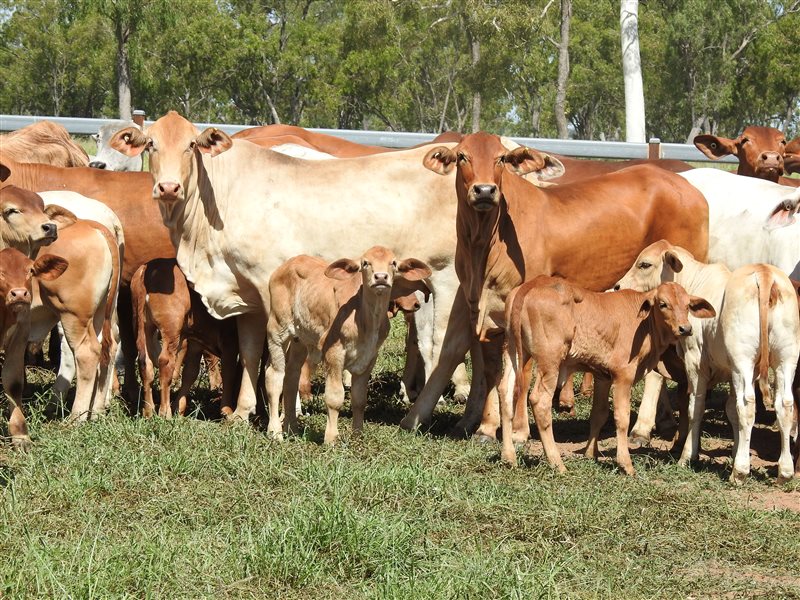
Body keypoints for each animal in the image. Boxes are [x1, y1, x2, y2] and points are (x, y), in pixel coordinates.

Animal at [131, 258, 239, 418]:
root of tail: (147, 269)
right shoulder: (229, 341)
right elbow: (229, 372)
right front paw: (227, 410)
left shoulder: (196, 342)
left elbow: (190, 372)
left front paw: (179, 408)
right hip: (171, 327)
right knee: (165, 362)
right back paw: (164, 412)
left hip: (142, 326)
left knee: (145, 362)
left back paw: (148, 411)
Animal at [266, 246, 431, 442]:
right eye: (365, 263)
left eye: (393, 263)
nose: (381, 277)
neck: (366, 319)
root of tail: (287, 265)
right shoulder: (333, 353)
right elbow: (334, 397)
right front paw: (331, 439)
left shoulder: (369, 357)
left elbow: (359, 399)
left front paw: (358, 436)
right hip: (277, 330)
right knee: (274, 376)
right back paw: (275, 432)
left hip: (301, 339)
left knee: (291, 378)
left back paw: (292, 429)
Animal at [416, 131, 710, 441]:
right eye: (462, 156)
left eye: (501, 158)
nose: (485, 191)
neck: (485, 244)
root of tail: (688, 187)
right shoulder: (483, 311)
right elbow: (492, 370)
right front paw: (487, 427)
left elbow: (523, 370)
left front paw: (519, 430)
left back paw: (645, 427)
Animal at [498, 277, 714, 475]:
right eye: (663, 304)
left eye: (687, 305)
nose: (685, 328)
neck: (646, 325)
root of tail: (531, 284)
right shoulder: (623, 375)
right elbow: (622, 417)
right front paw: (625, 464)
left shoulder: (603, 376)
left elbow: (599, 414)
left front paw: (590, 454)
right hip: (549, 361)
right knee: (540, 401)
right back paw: (557, 463)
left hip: (512, 350)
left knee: (505, 393)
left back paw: (508, 457)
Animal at [615, 241, 800, 483]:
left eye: (644, 264)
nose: (618, 286)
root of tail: (764, 273)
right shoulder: (731, 371)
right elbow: (731, 410)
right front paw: (736, 451)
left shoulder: (695, 362)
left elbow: (696, 407)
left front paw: (688, 455)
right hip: (785, 358)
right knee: (784, 406)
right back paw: (785, 472)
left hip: (744, 359)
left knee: (748, 406)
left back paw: (740, 472)